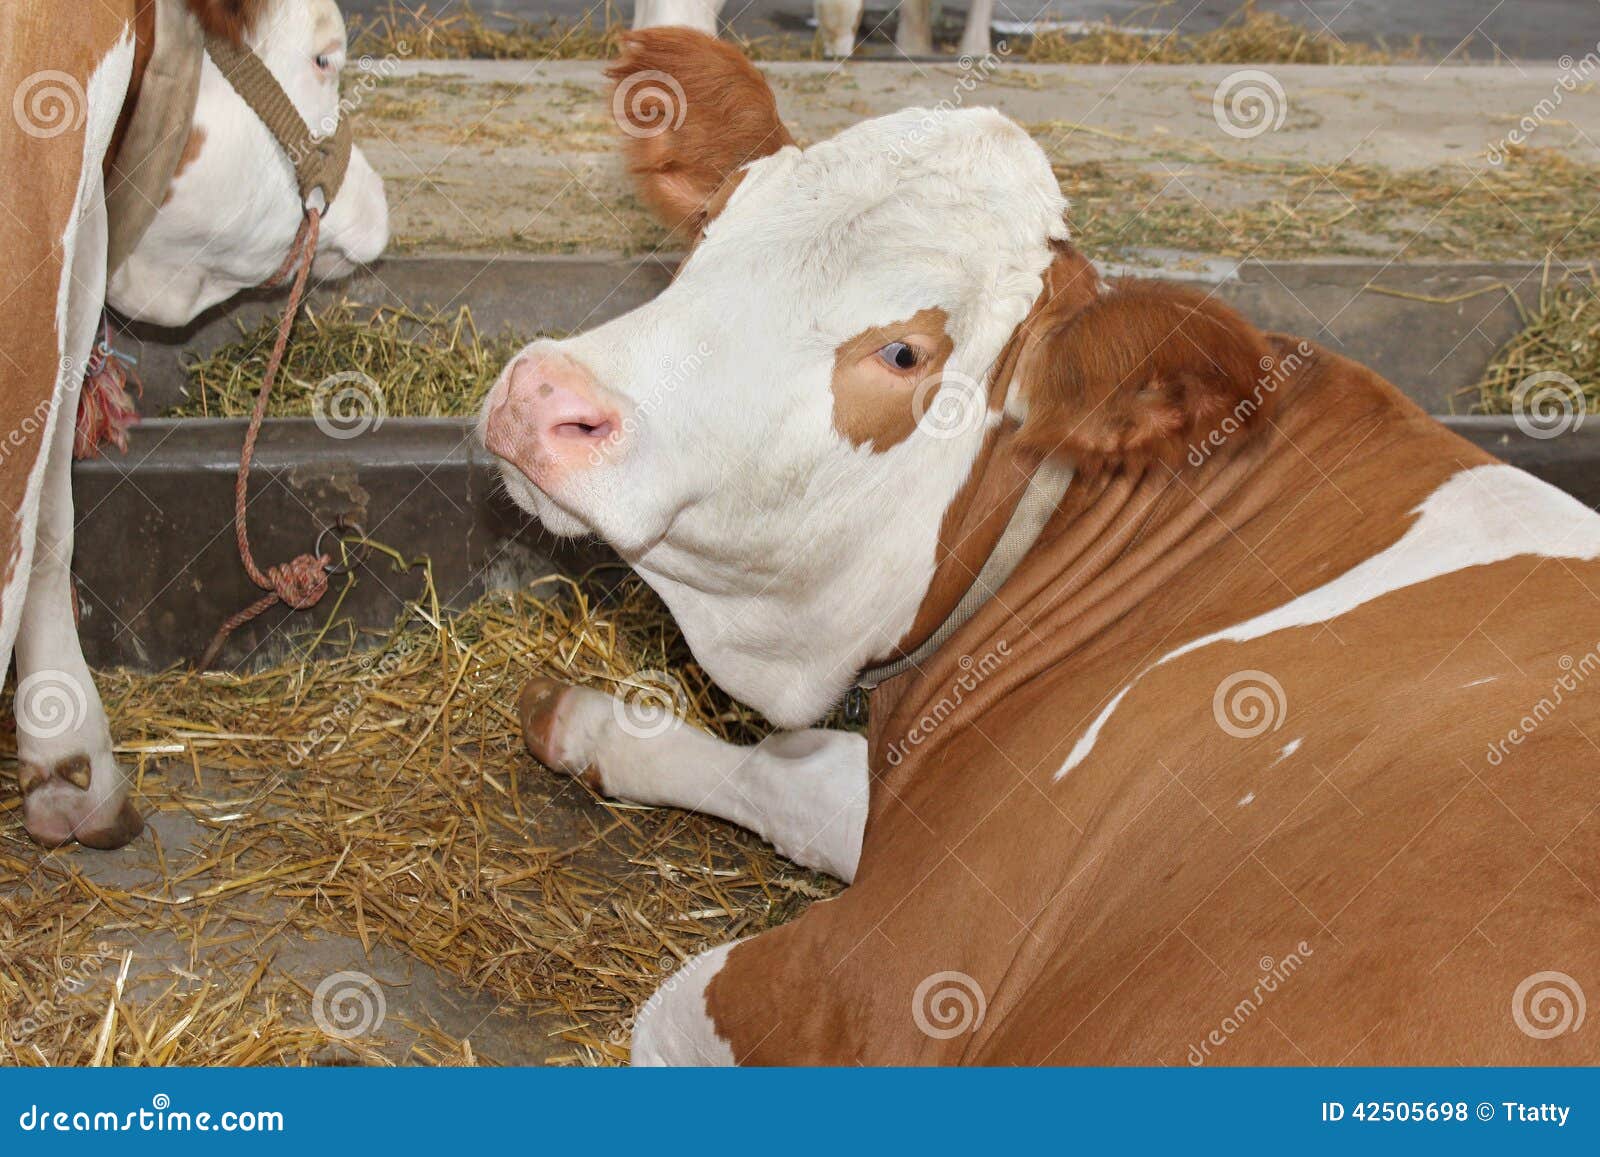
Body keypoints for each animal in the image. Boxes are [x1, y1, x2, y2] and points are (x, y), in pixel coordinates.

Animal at [483, 28, 1600, 1065]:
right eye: (715, 221)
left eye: (905, 352)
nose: (545, 394)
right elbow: (798, 771)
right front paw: (588, 720)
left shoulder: (876, 985)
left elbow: (667, 999)